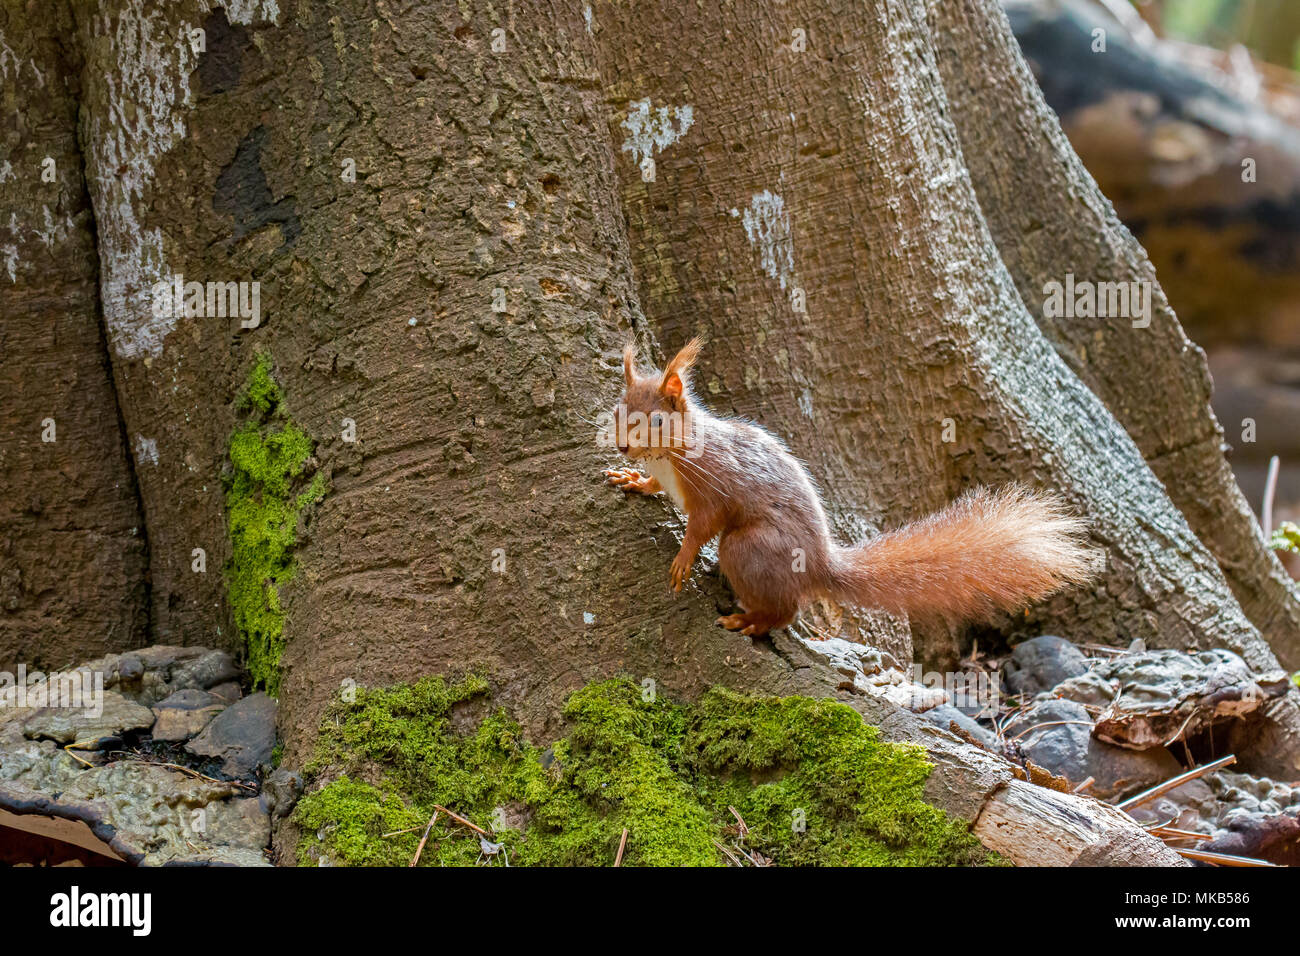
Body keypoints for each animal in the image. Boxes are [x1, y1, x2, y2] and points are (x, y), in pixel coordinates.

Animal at [604, 338, 1096, 637]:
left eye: (658, 421)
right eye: (617, 408)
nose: (625, 446)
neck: (673, 454)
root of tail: (820, 566)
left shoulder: (715, 482)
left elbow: (704, 523)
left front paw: (684, 557)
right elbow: (654, 483)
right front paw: (634, 480)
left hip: (752, 547)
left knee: (783, 608)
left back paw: (753, 622)